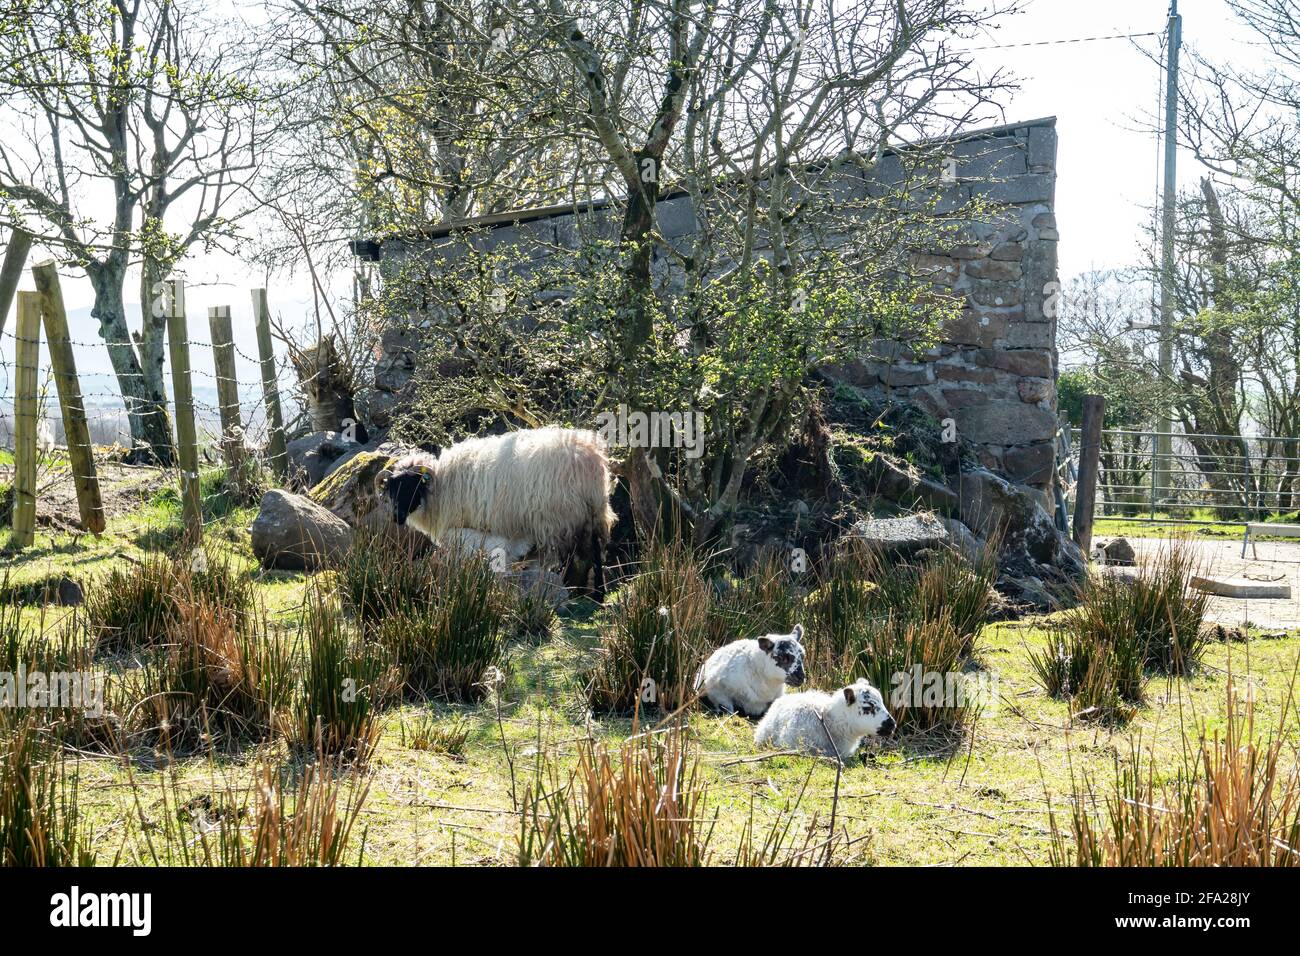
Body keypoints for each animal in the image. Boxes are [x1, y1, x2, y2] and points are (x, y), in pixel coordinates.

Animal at [376, 427, 616, 593]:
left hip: (561, 516)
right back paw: (595, 595)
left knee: (572, 555)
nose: (396, 517)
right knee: (594, 551)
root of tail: (589, 456)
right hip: (592, 511)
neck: (441, 484)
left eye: (411, 486)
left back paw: (574, 589)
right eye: (391, 489)